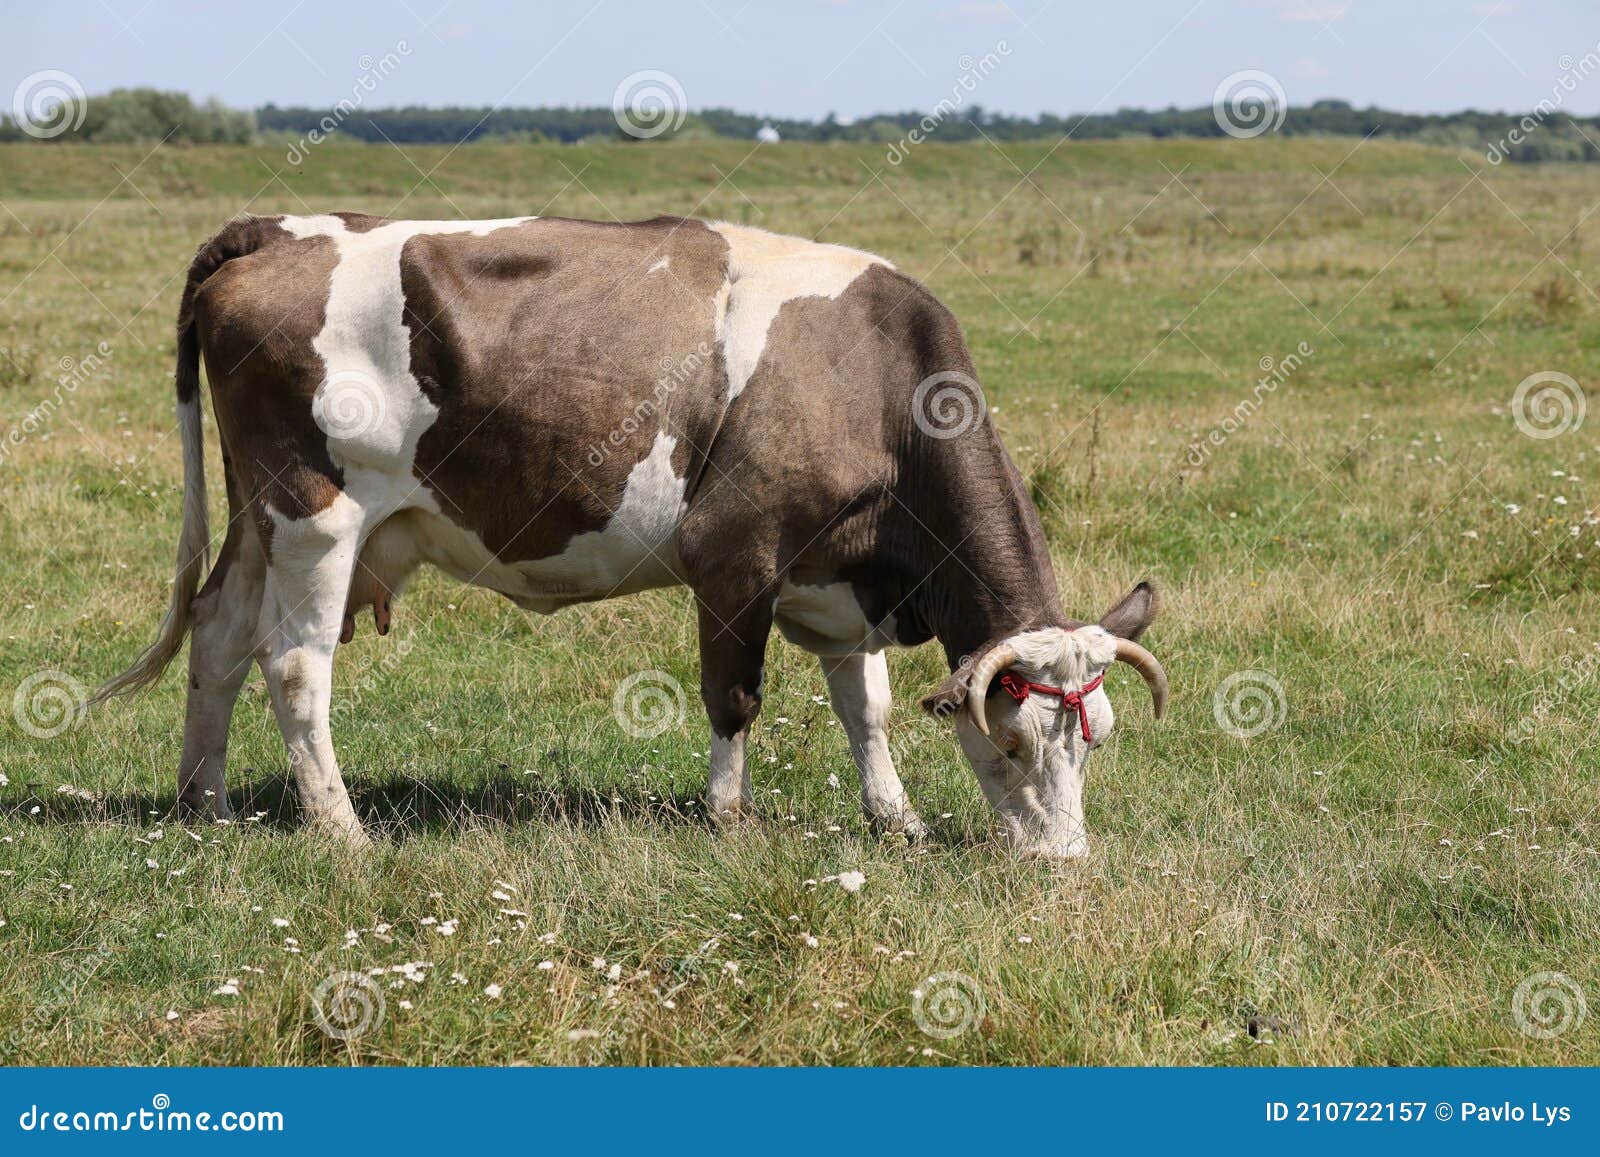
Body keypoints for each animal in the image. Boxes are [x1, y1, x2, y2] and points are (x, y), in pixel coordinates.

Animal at [94, 212, 1167, 859]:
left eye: (1098, 737)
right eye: (1014, 740)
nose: (1063, 862)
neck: (872, 374)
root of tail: (277, 230)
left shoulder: (837, 577)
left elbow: (866, 708)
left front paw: (892, 816)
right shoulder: (735, 555)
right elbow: (736, 696)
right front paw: (729, 818)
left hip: (257, 520)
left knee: (218, 637)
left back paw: (204, 805)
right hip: (314, 516)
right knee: (292, 665)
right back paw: (343, 829)